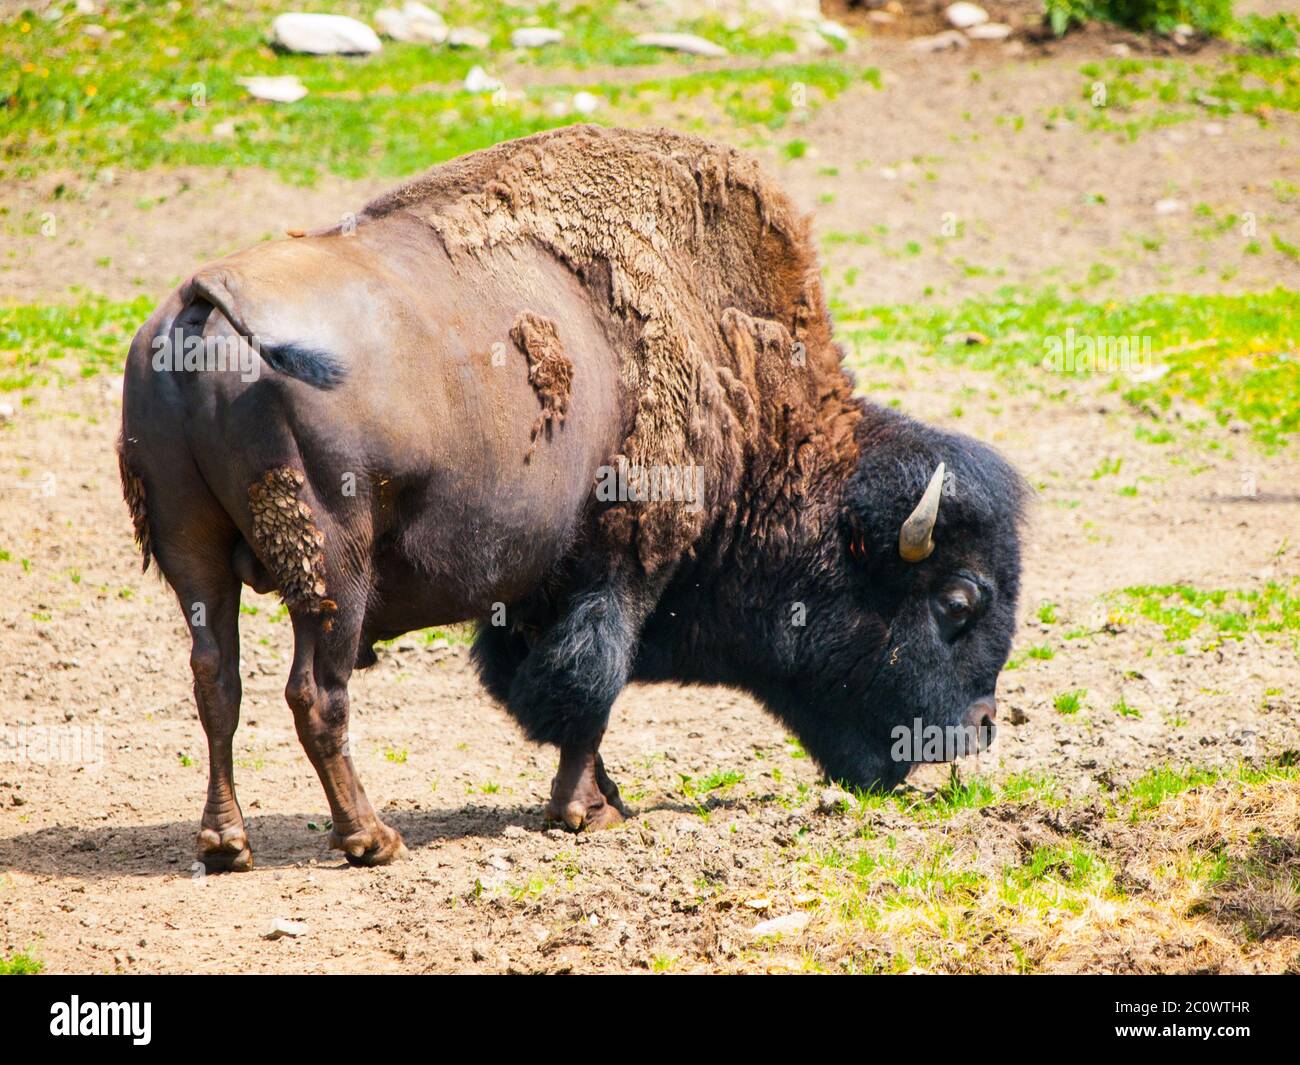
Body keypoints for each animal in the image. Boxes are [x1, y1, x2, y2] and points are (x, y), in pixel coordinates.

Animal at [118, 126, 1026, 871]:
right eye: (958, 600)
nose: (977, 728)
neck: (725, 353)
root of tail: (205, 301)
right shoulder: (623, 568)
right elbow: (589, 687)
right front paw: (589, 811)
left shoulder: (538, 589)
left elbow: (550, 687)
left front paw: (603, 799)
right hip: (333, 573)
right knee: (316, 692)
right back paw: (370, 838)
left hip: (195, 558)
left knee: (216, 680)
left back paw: (226, 842)